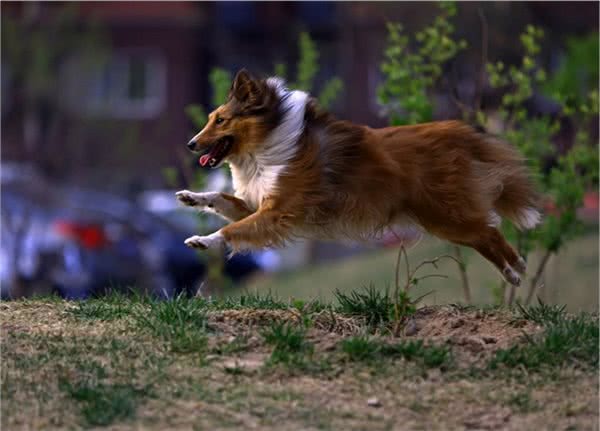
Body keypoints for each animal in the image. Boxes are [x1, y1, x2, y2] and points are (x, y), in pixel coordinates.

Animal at [176, 69, 540, 286]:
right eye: (211, 118)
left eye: (221, 120)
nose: (191, 144)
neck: (265, 145)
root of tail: (457, 130)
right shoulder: (261, 206)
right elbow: (221, 200)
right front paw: (191, 197)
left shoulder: (278, 211)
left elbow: (232, 230)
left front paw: (203, 241)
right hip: (441, 218)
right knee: (483, 235)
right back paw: (514, 271)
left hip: (445, 214)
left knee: (489, 231)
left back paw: (518, 267)